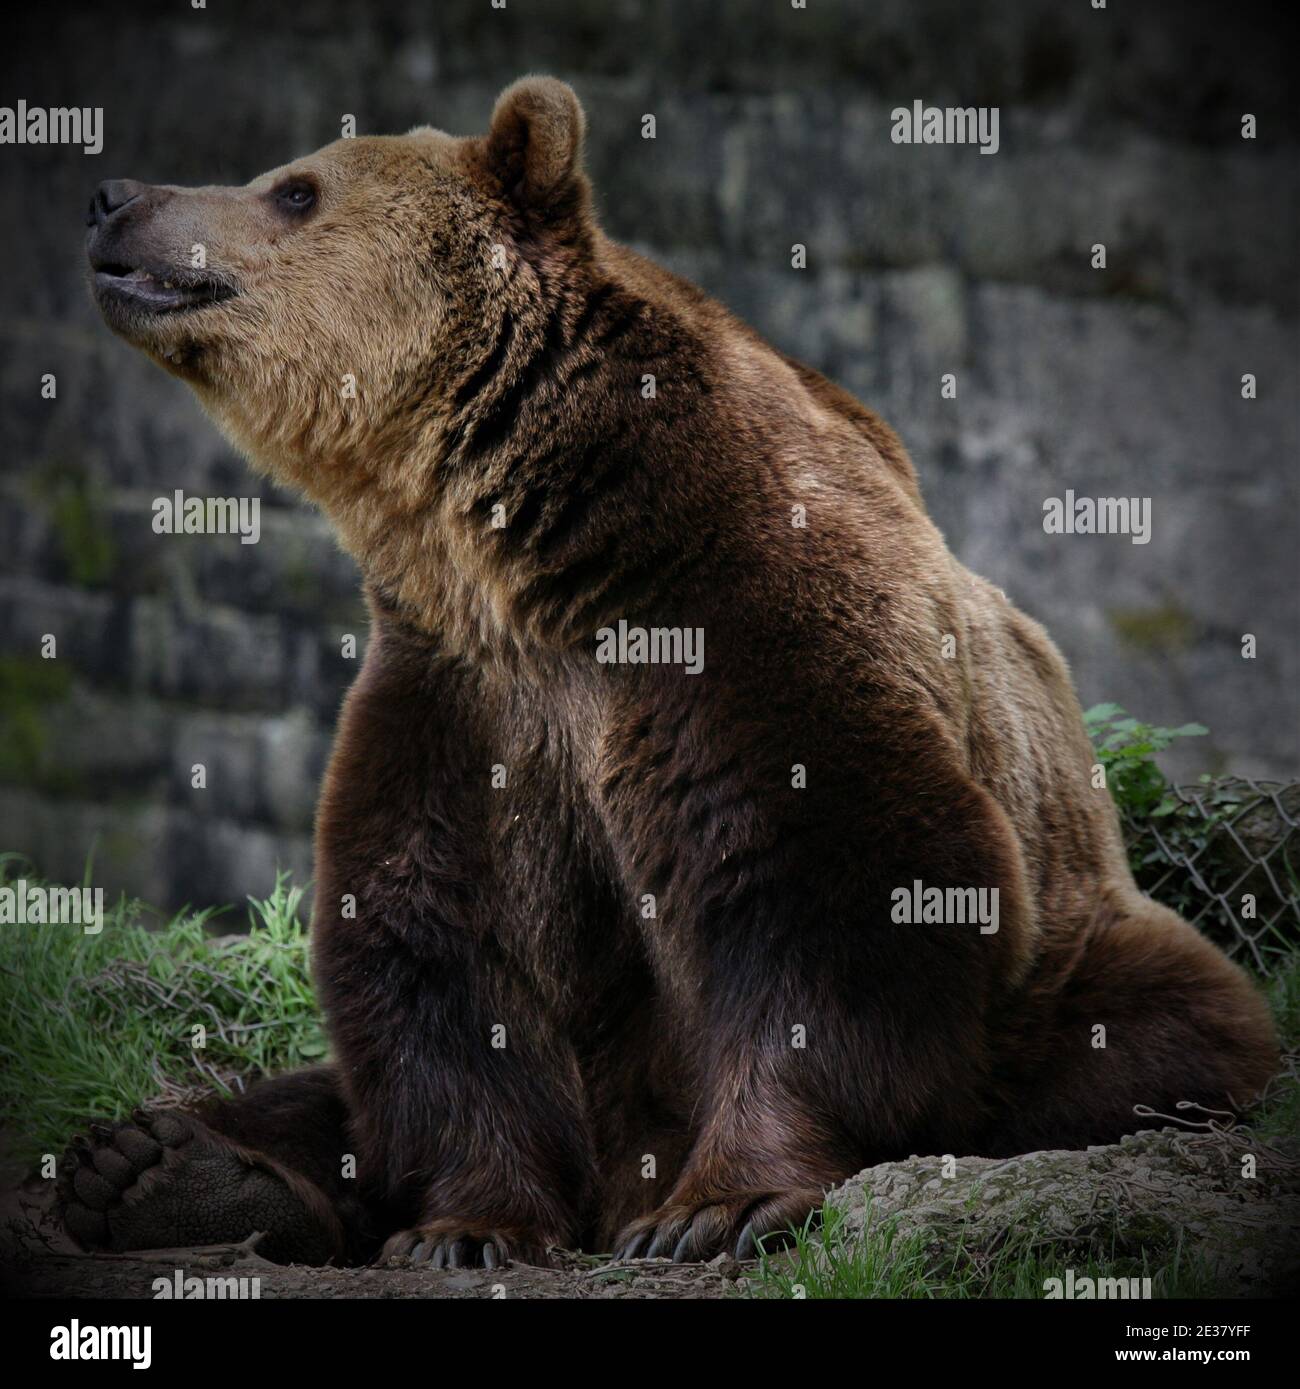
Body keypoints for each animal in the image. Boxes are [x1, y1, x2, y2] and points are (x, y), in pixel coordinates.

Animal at [62, 76, 1277, 1269]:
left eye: (294, 189)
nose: (113, 196)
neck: (540, 552)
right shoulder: (461, 691)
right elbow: (432, 939)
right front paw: (465, 1227)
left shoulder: (746, 624)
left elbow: (832, 895)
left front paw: (721, 1206)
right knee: (318, 1094)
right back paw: (161, 1168)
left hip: (1081, 956)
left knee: (1158, 1034)